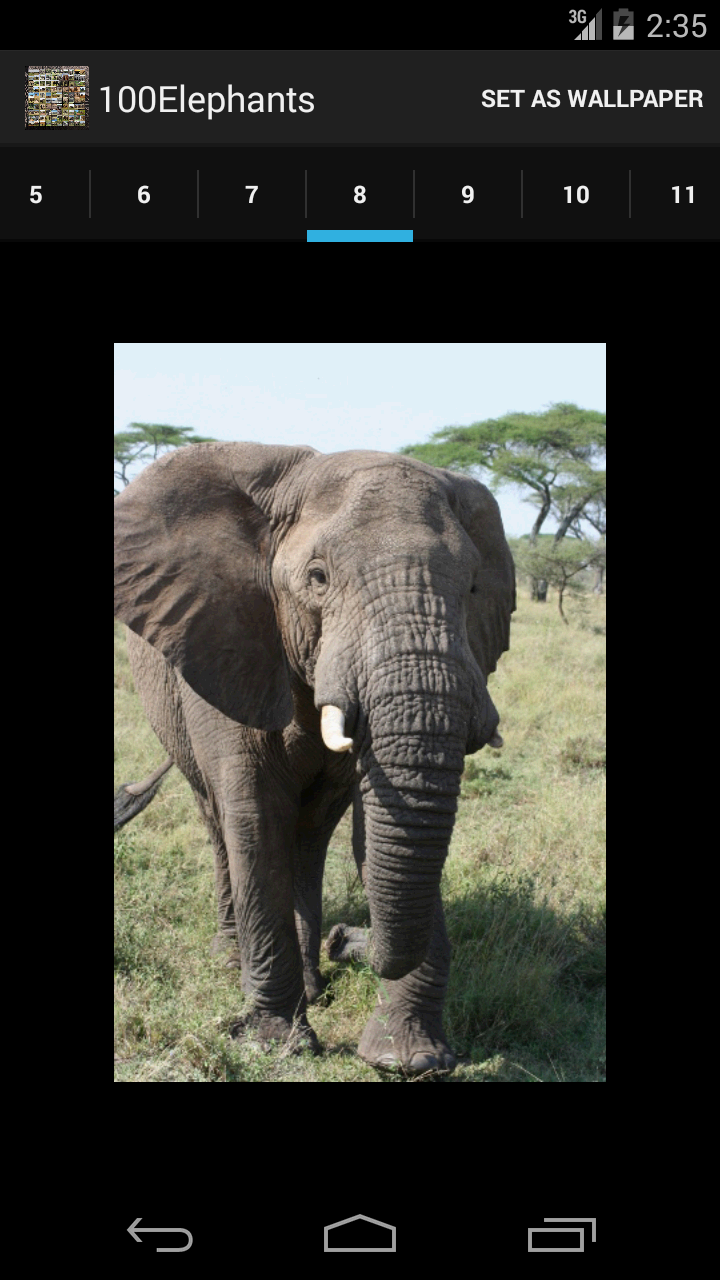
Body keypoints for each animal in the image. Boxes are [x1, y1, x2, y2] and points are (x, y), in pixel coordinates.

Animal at [114, 442, 515, 1074]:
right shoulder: (230, 641)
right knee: (220, 820)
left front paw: (409, 1061)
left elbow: (376, 830)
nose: (348, 938)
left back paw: (313, 985)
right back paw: (234, 962)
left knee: (309, 835)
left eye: (474, 587)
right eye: (318, 578)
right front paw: (276, 1045)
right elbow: (255, 816)